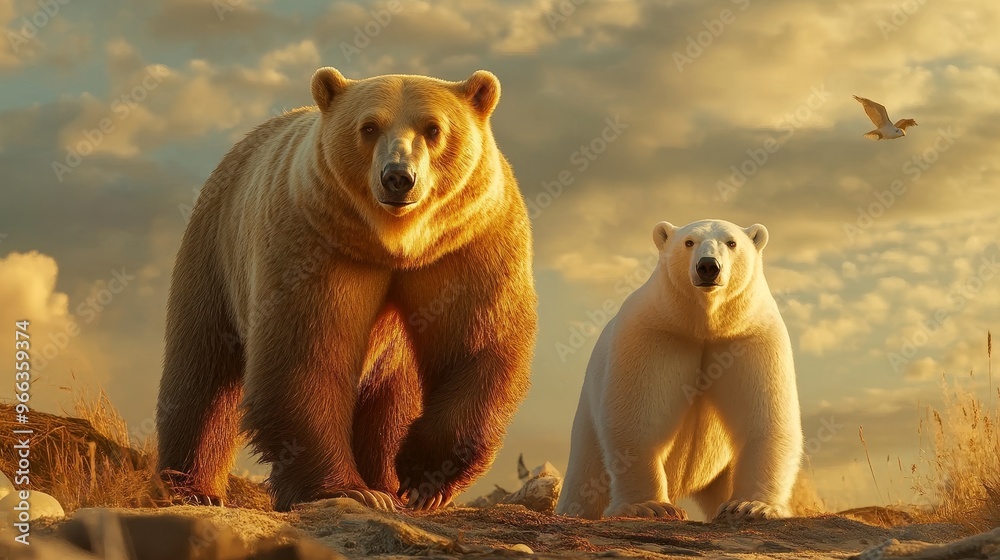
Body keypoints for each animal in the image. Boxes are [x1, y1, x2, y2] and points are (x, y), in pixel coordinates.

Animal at [155, 67, 538, 512]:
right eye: (368, 126)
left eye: (433, 128)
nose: (397, 177)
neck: (396, 243)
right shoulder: (317, 241)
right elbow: (308, 353)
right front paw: (348, 489)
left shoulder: (468, 242)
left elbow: (477, 344)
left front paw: (422, 481)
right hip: (216, 248)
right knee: (202, 370)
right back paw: (194, 488)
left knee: (392, 396)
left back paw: (386, 480)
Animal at [555, 219, 802, 522]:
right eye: (689, 242)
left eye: (731, 242)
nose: (708, 266)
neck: (703, 325)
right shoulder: (653, 335)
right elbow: (636, 419)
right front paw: (650, 506)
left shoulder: (749, 337)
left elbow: (765, 418)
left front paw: (752, 505)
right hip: (586, 424)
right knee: (585, 478)